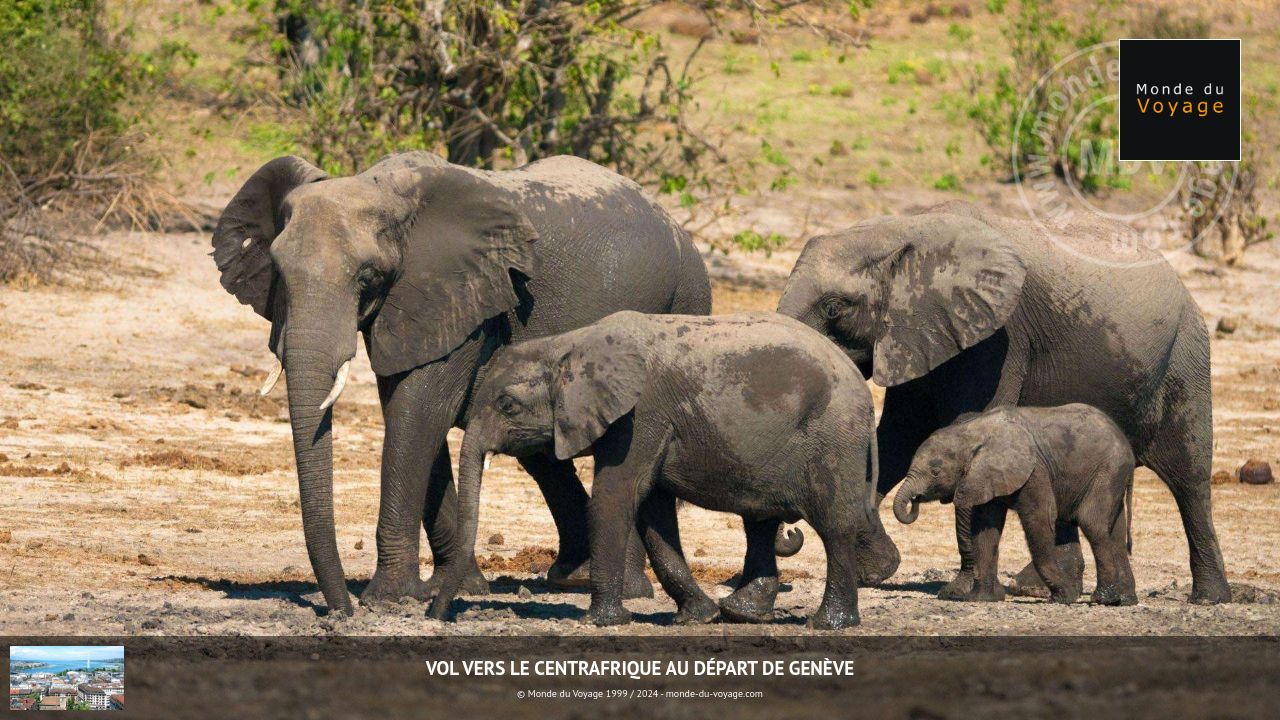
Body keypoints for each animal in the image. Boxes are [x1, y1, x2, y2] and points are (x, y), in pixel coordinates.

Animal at [209, 149, 711, 609]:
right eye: (278, 273)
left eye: (367, 277)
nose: (341, 610)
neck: (382, 189)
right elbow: (408, 413)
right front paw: (457, 588)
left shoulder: (463, 297)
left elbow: (417, 413)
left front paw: (387, 599)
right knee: (543, 455)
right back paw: (573, 578)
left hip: (684, 298)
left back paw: (626, 589)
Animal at [424, 311, 885, 625]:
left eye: (507, 405)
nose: (437, 614)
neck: (569, 345)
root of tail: (861, 387)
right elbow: (654, 513)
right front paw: (696, 617)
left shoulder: (639, 415)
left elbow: (615, 498)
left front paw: (601, 622)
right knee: (761, 521)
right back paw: (741, 614)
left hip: (832, 436)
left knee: (833, 525)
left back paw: (829, 623)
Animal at [896, 399, 1136, 602]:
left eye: (935, 472)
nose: (915, 500)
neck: (973, 432)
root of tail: (1127, 446)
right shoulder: (984, 475)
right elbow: (985, 529)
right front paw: (982, 599)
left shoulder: (1035, 470)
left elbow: (1039, 519)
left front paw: (1063, 597)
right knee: (1115, 532)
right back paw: (1124, 600)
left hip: (1107, 470)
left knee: (1091, 523)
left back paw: (1103, 599)